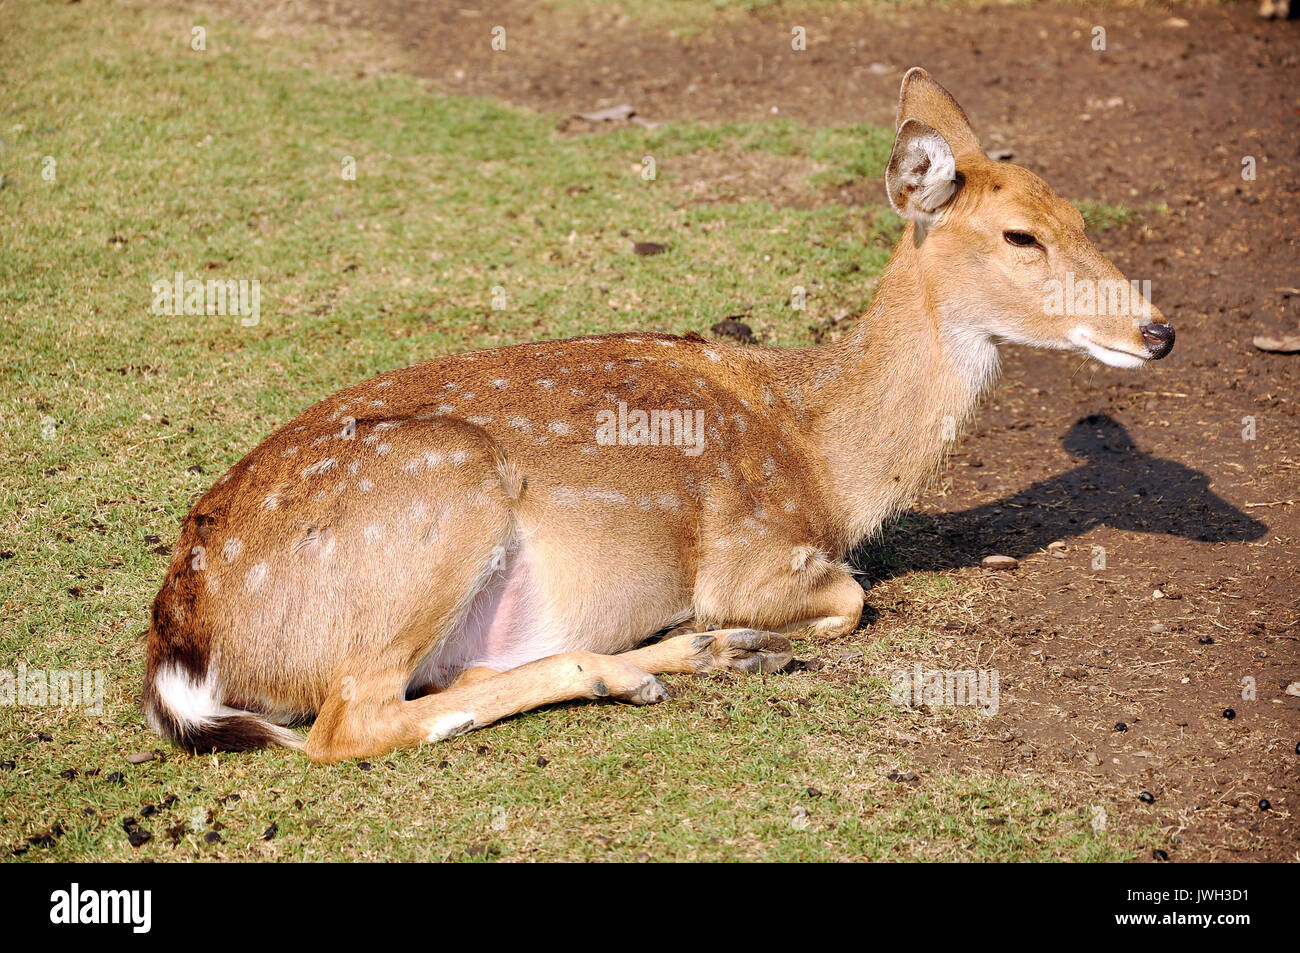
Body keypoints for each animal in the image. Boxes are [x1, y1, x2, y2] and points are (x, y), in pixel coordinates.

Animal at [142, 69, 1174, 762]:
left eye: (1081, 215)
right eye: (1020, 236)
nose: (1158, 330)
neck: (824, 459)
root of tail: (184, 640)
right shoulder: (750, 553)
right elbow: (853, 595)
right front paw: (741, 636)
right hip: (442, 491)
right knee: (348, 722)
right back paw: (646, 665)